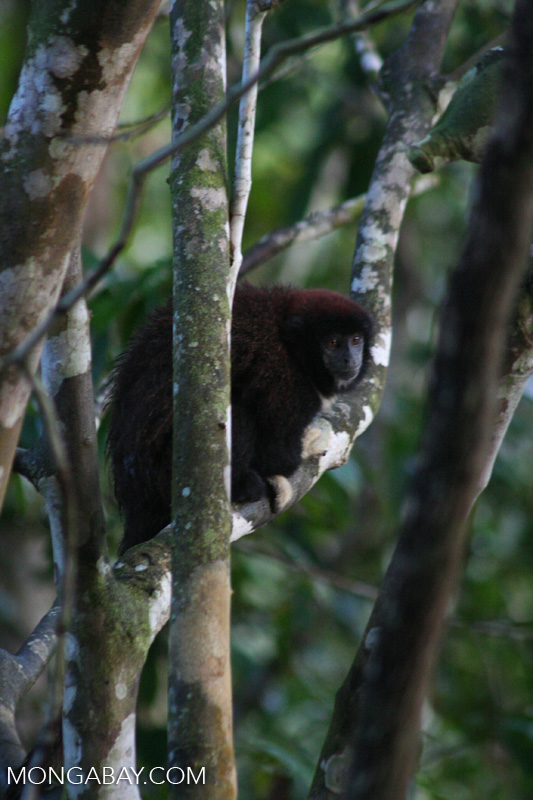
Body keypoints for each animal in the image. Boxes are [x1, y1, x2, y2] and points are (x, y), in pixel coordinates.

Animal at [107, 282, 373, 553]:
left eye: (355, 340)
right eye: (332, 342)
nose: (350, 359)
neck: (291, 345)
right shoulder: (285, 381)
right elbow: (279, 455)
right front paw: (309, 443)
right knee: (238, 413)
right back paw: (242, 485)